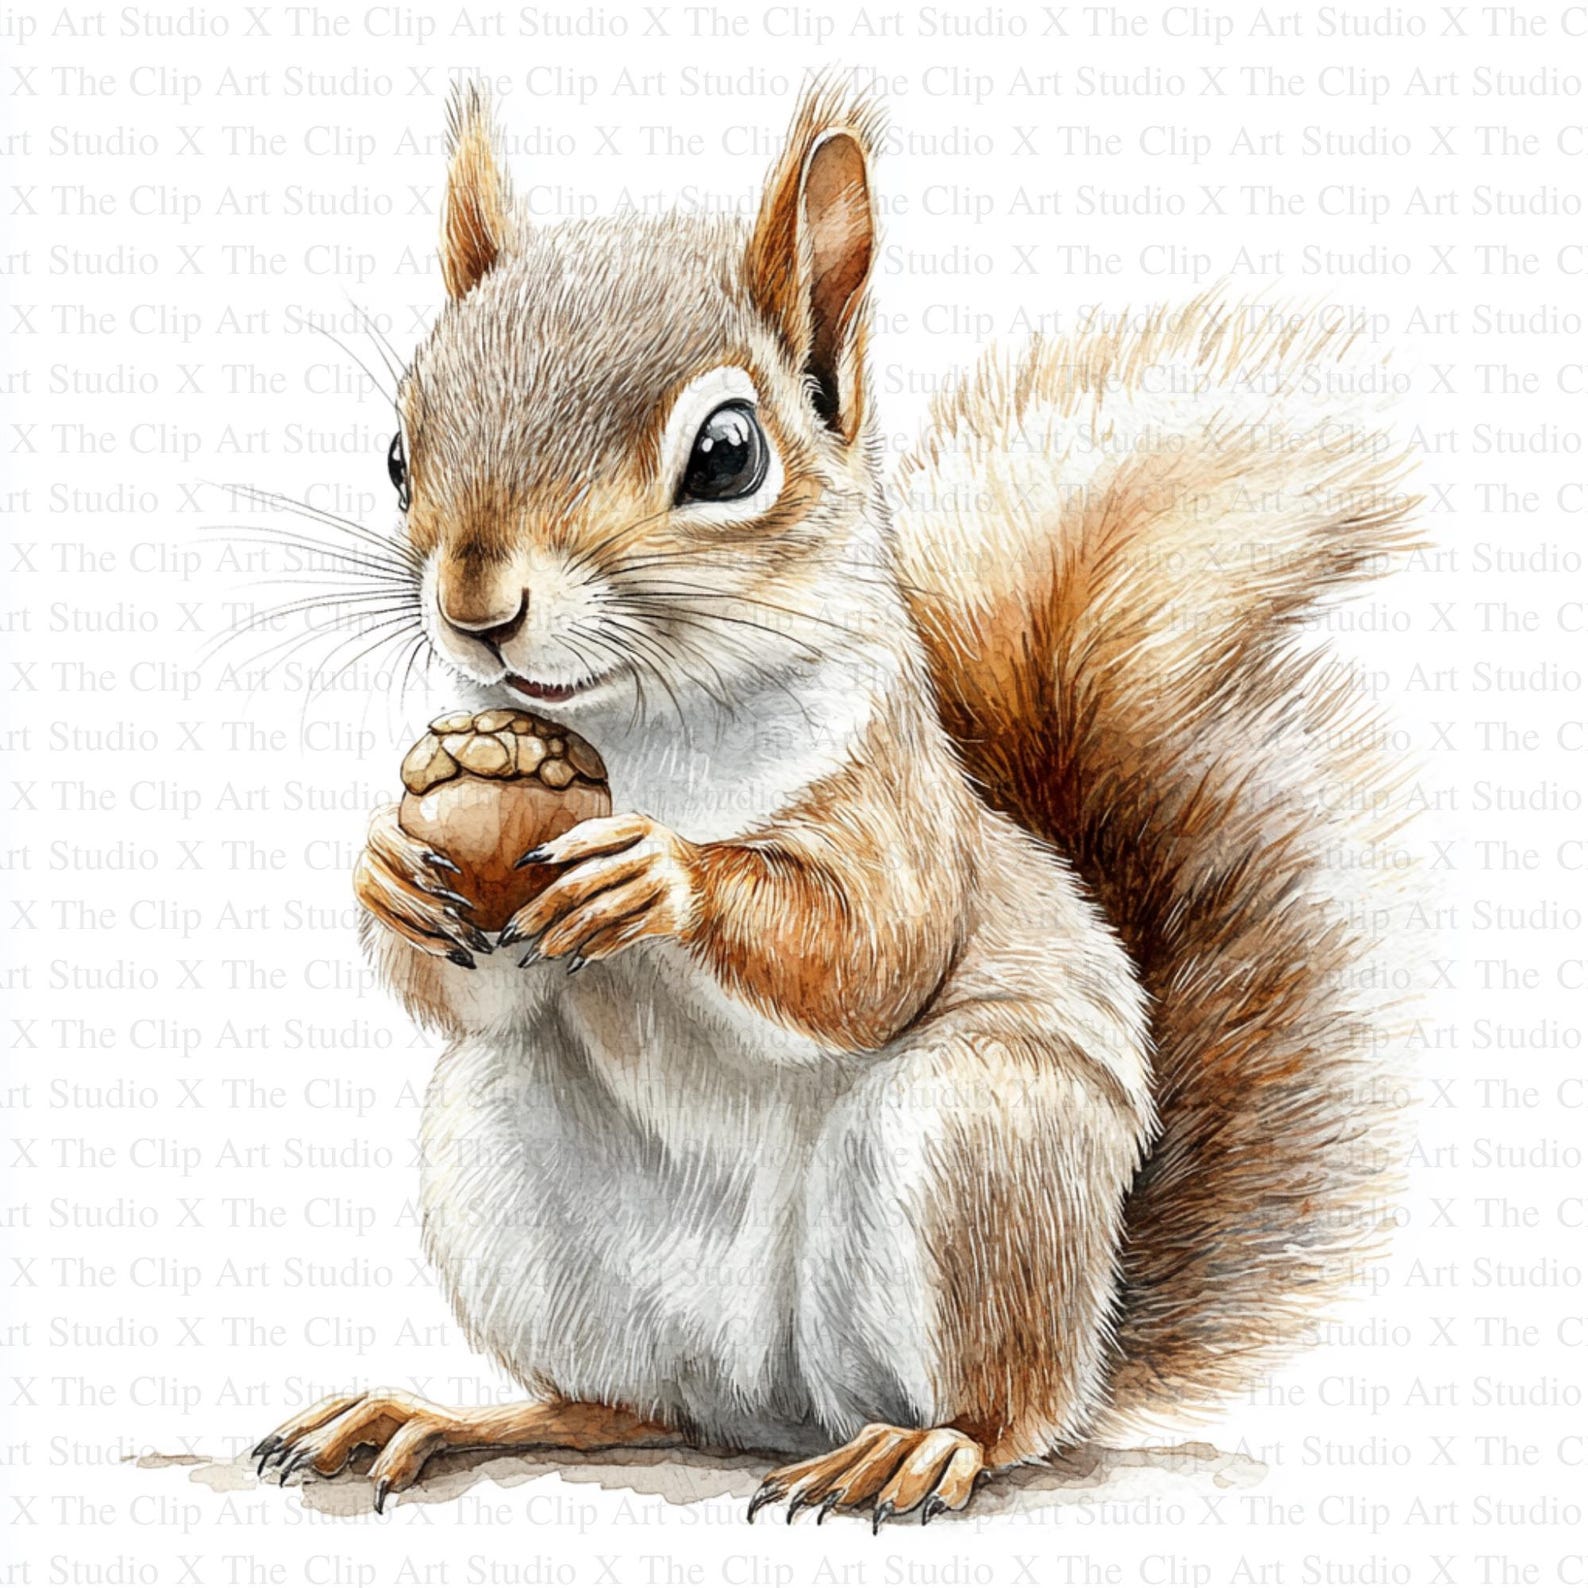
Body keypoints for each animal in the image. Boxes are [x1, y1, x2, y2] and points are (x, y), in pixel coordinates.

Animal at [254, 83, 1419, 1526]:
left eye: (727, 453)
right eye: (399, 451)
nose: (477, 608)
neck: (645, 724)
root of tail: (769, 1407)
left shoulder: (898, 802)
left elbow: (870, 950)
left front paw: (663, 875)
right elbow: (473, 990)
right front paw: (385, 865)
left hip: (975, 1149)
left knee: (1007, 1407)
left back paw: (918, 1449)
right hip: (499, 1167)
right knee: (621, 1405)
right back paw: (446, 1417)